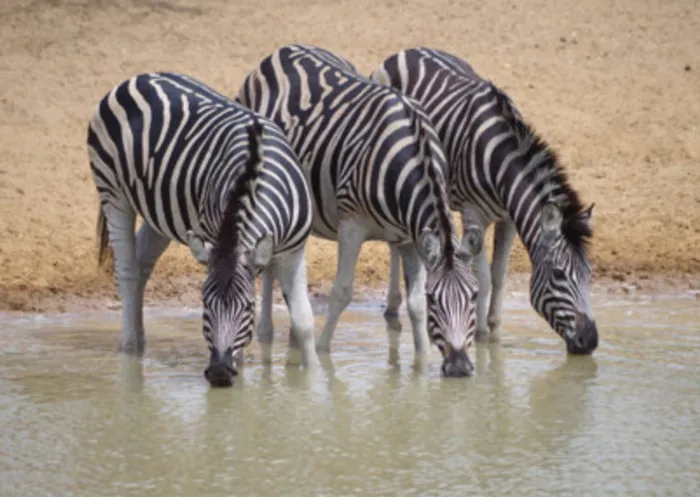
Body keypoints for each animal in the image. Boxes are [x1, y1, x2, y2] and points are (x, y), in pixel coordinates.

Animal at [88, 72, 318, 387]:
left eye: (249, 307)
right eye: (204, 304)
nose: (219, 373)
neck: (255, 171)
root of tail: (135, 78)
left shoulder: (294, 250)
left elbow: (304, 320)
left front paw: (314, 378)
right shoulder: (216, 239)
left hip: (159, 212)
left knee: (142, 265)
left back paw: (141, 339)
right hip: (113, 192)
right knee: (127, 271)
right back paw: (129, 348)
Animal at [236, 44, 483, 377]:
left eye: (474, 296)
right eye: (436, 300)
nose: (459, 368)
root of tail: (285, 49)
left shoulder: (410, 237)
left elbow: (414, 305)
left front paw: (421, 364)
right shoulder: (351, 225)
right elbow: (342, 291)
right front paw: (322, 352)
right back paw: (266, 333)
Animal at [371, 48, 598, 354]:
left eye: (589, 274)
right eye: (560, 275)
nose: (591, 341)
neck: (500, 161)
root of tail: (406, 51)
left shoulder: (509, 219)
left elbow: (499, 275)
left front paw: (496, 334)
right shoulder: (473, 214)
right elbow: (484, 278)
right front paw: (479, 334)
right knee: (395, 246)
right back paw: (393, 306)